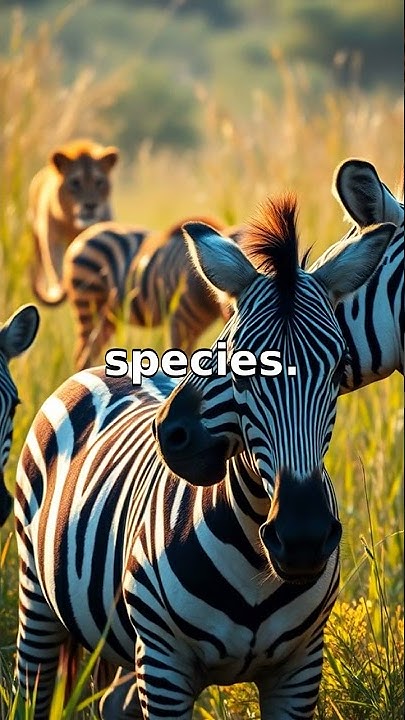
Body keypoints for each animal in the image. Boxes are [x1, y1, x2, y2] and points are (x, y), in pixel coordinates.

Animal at [14, 195, 394, 719]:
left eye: (339, 368)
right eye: (239, 364)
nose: (302, 537)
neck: (255, 554)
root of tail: (104, 365)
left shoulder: (300, 671)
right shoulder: (164, 666)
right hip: (36, 599)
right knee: (30, 690)